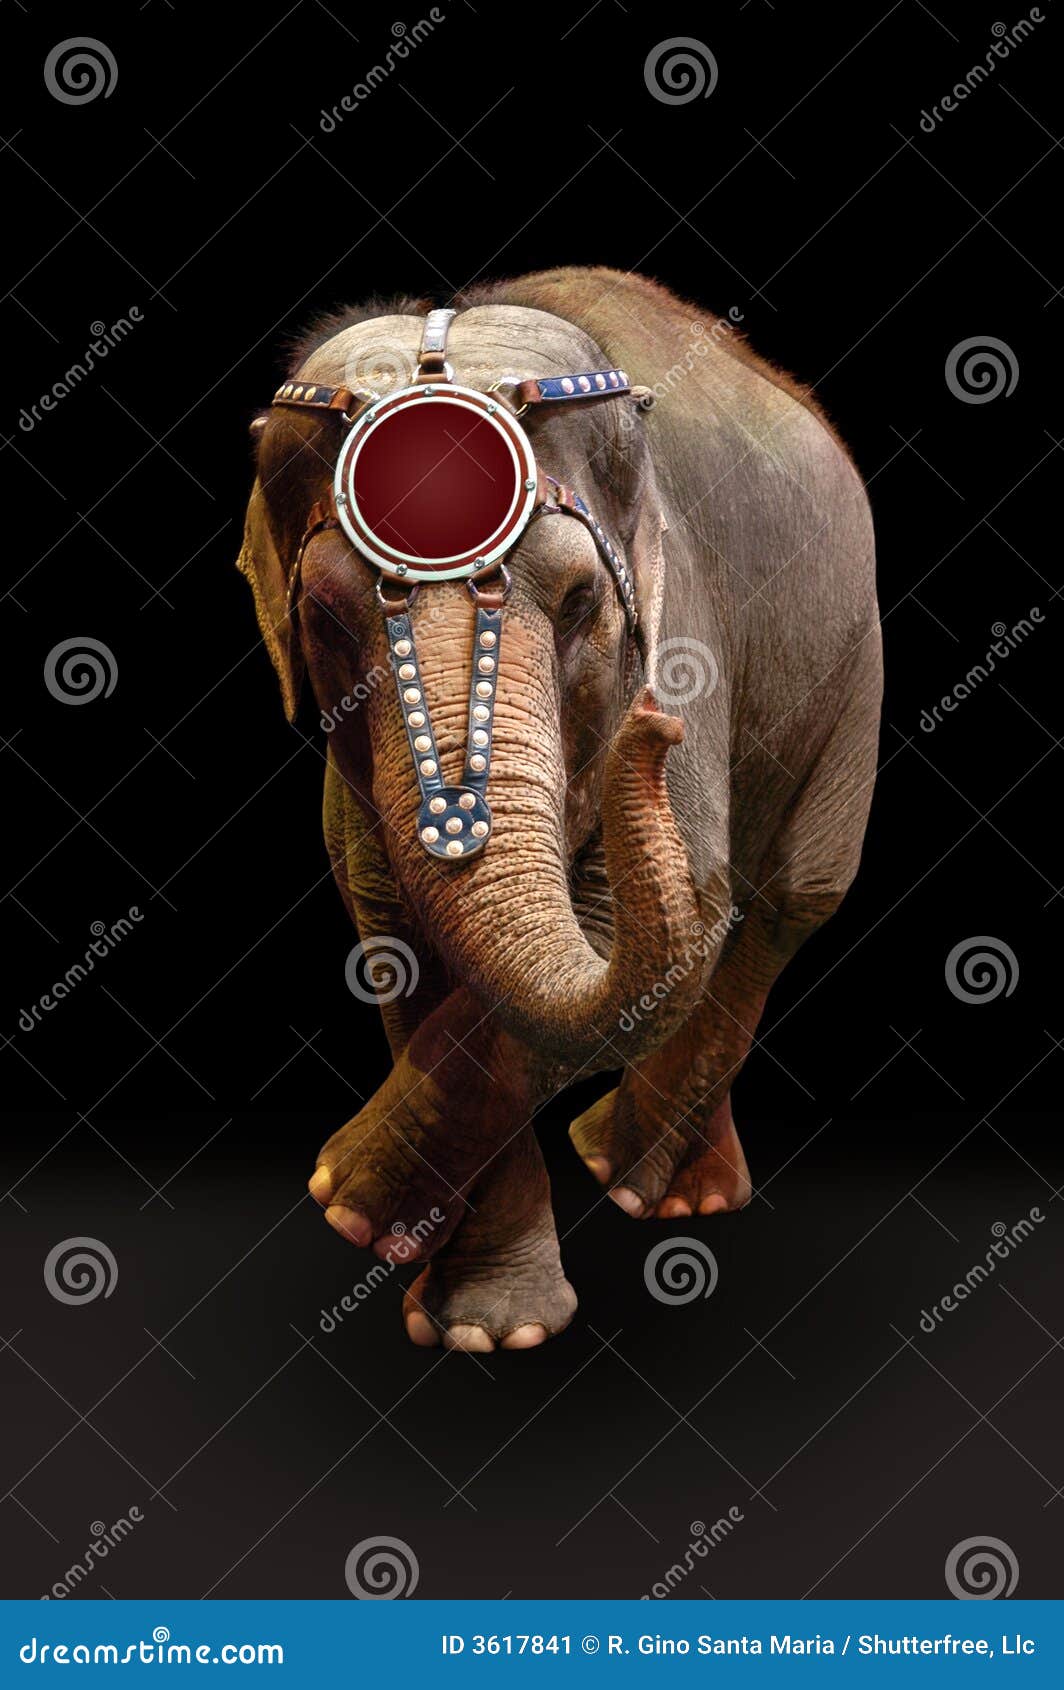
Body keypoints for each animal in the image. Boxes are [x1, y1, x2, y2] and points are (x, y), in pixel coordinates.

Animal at [237, 267, 882, 1352]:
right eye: (322, 618)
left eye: (583, 603)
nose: (654, 729)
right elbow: (392, 924)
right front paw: (473, 1324)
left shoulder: (682, 624)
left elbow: (631, 925)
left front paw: (347, 1197)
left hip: (856, 659)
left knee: (785, 901)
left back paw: (645, 1188)